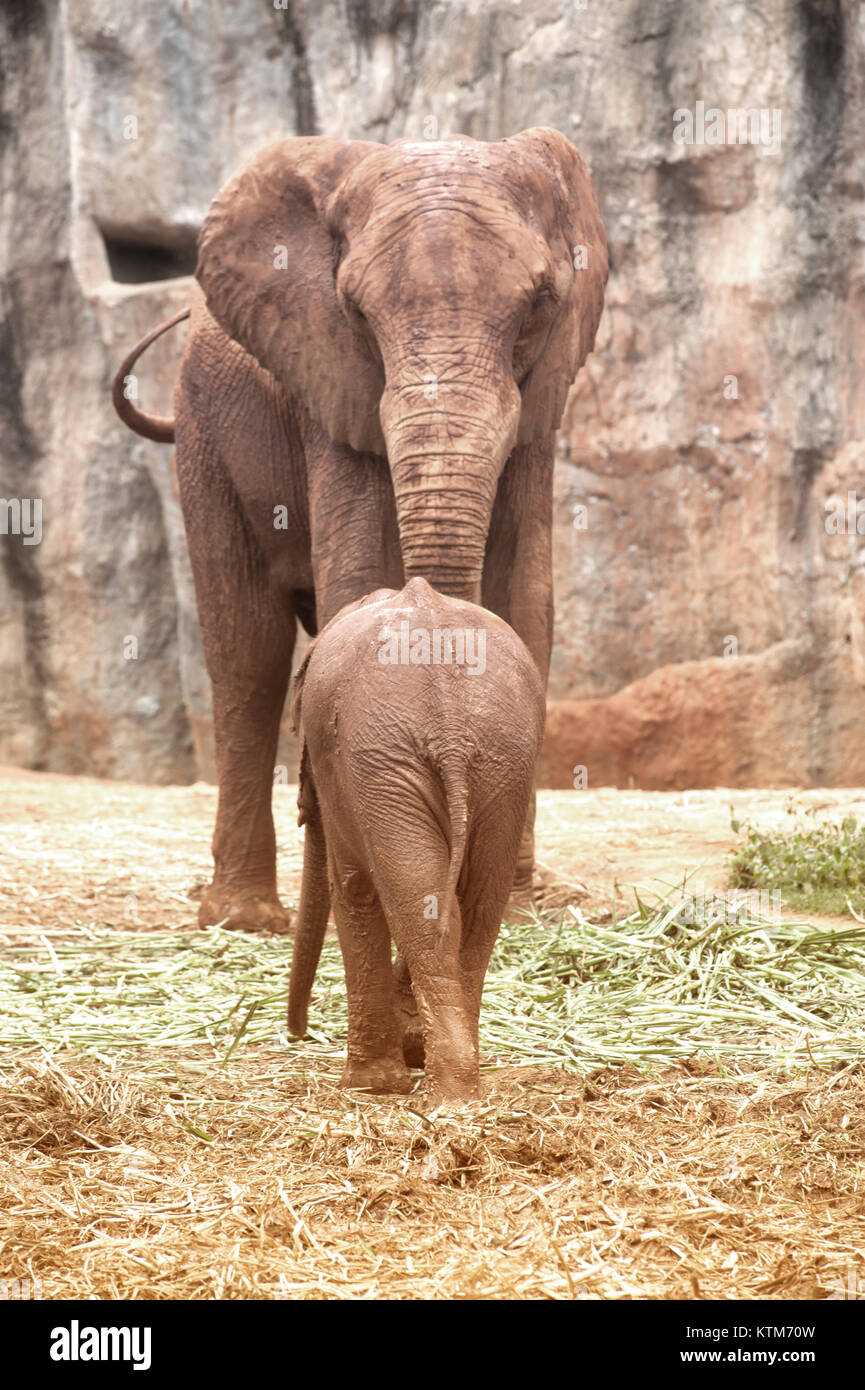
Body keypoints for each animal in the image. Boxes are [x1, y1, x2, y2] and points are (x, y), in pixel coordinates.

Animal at [112, 129, 607, 934]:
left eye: (540, 303)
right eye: (354, 311)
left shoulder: (540, 408)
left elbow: (525, 598)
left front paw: (513, 900)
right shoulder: (326, 381)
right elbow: (361, 579)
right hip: (203, 430)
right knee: (246, 651)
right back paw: (243, 918)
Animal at [286, 577, 546, 1102]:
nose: (295, 1032)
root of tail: (449, 726)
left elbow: (354, 888)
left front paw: (370, 1085)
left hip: (386, 761)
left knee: (414, 901)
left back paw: (441, 1090)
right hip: (500, 761)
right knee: (475, 904)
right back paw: (460, 1083)